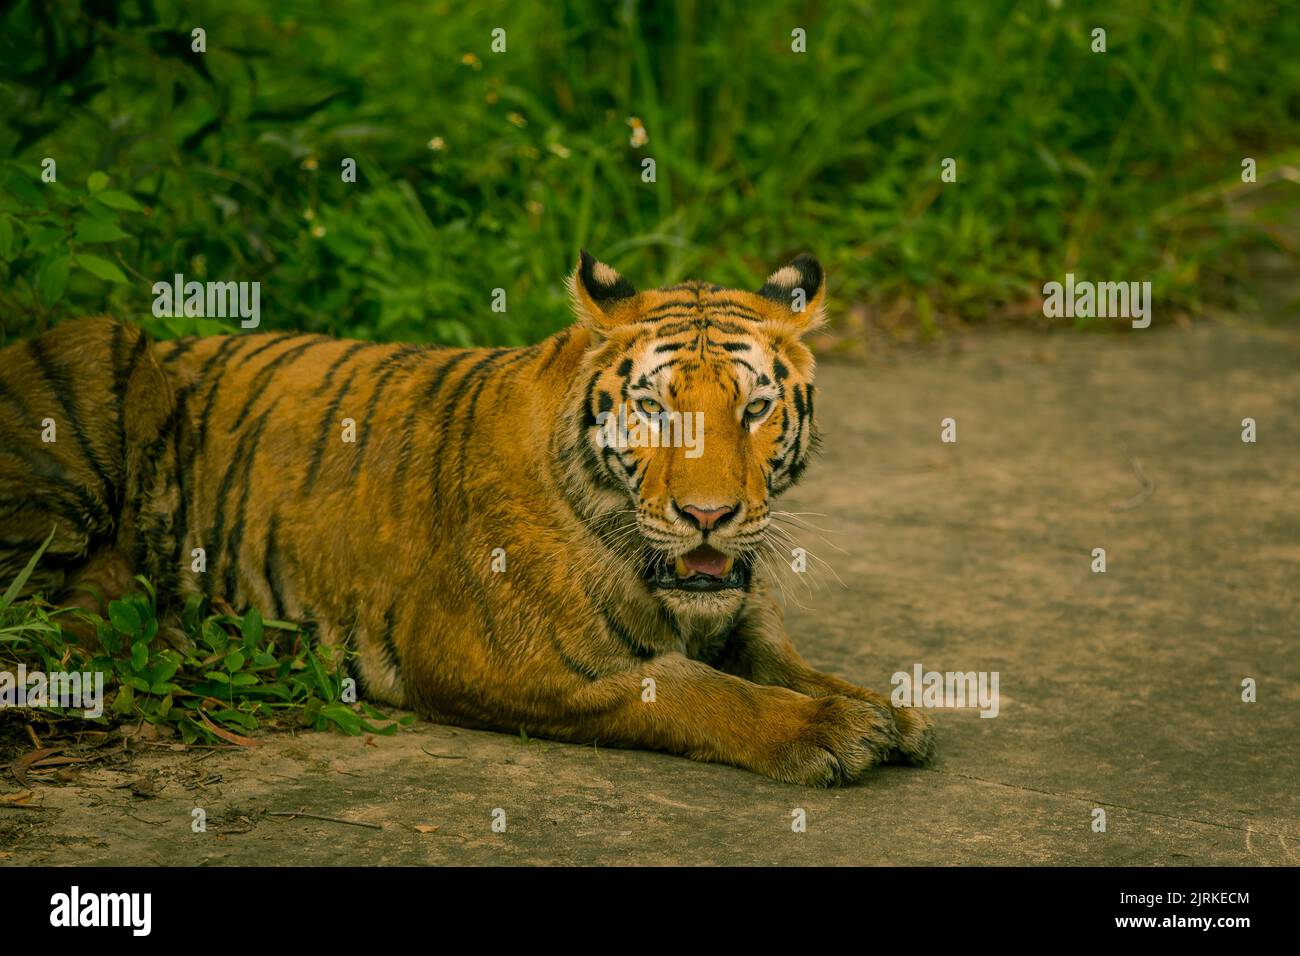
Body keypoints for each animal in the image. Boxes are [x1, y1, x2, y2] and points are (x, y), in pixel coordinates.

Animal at [0, 251, 934, 785]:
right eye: (655, 409)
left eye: (755, 409)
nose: (708, 514)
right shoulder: (499, 657)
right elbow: (691, 691)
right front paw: (832, 730)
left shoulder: (739, 618)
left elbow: (794, 665)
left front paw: (887, 710)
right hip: (105, 349)